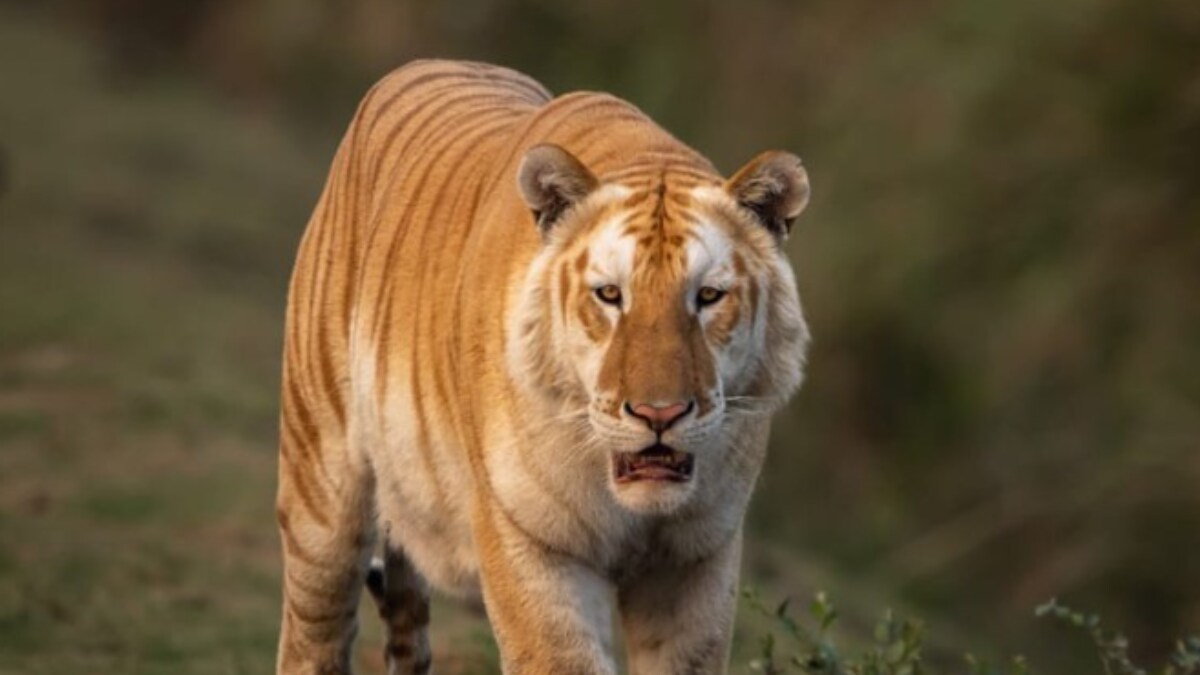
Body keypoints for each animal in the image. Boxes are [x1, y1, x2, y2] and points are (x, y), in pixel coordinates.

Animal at [274, 59, 811, 675]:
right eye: (610, 295)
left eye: (708, 296)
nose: (660, 414)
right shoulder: (532, 544)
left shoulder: (698, 558)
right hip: (321, 492)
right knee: (314, 629)